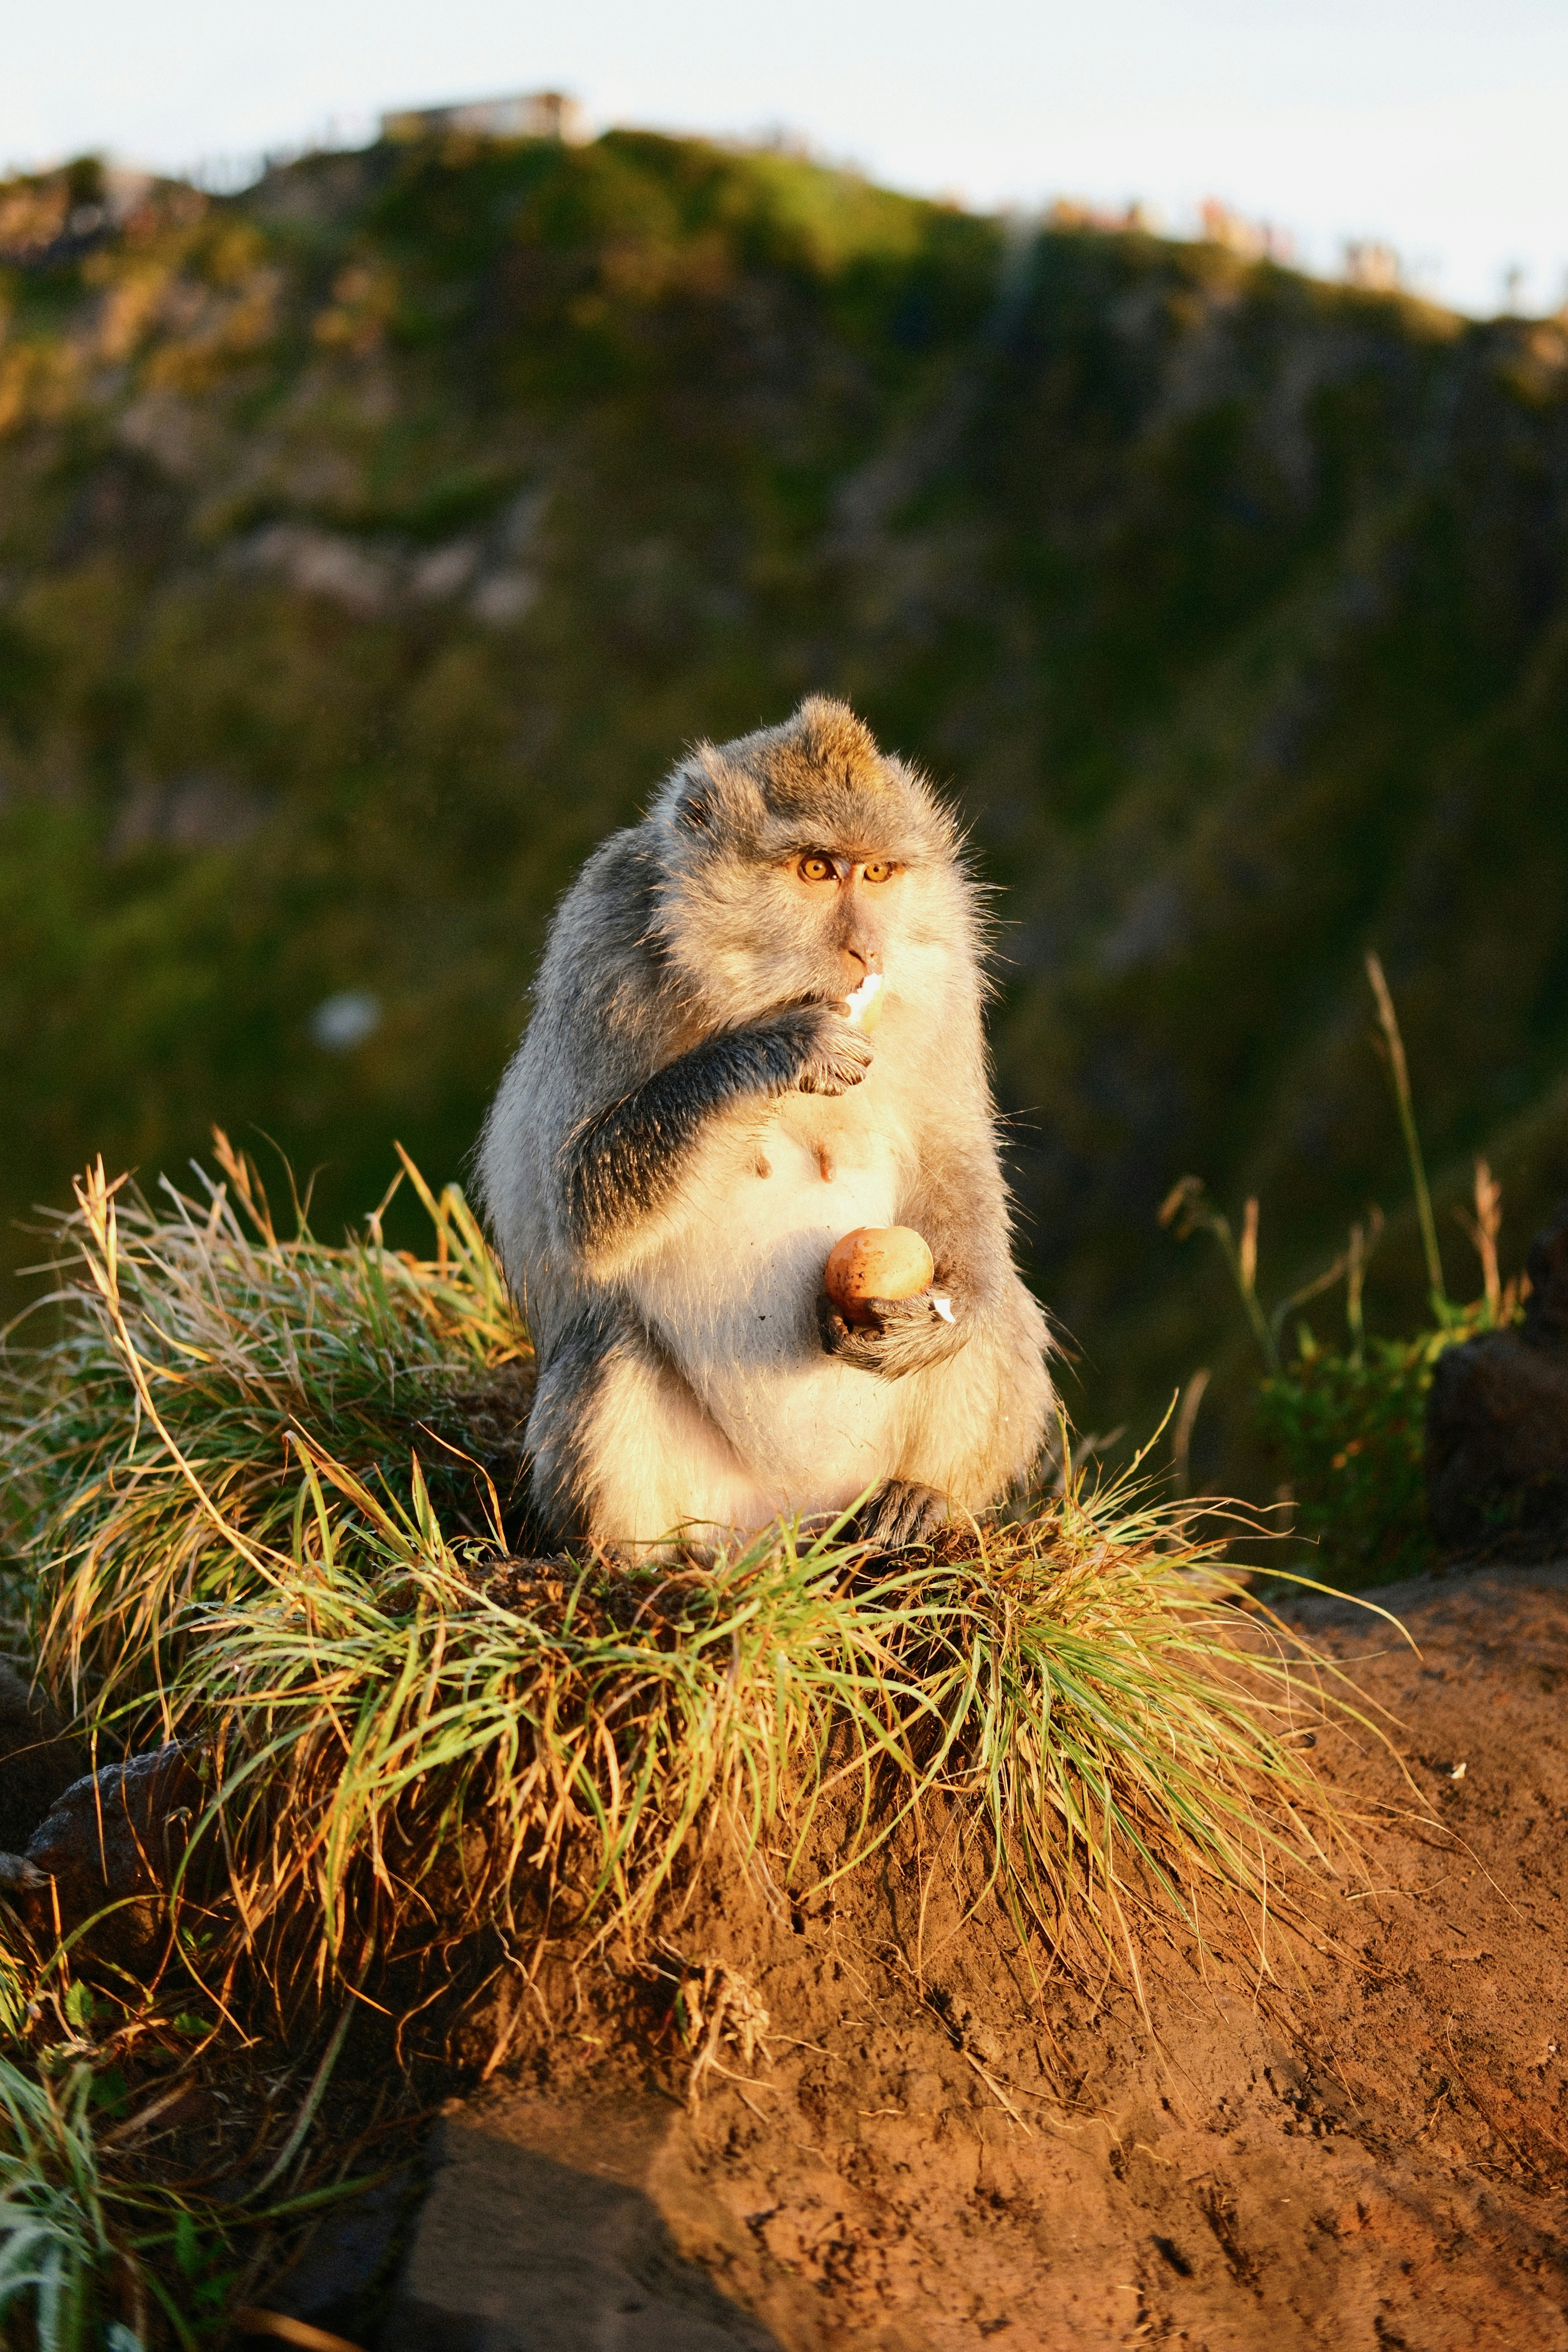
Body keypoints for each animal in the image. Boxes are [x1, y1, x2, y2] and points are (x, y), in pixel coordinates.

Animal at [476, 696, 1052, 1559]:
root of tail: (794, 1526)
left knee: (996, 1306)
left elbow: (954, 1155)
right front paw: (780, 1046)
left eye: (877, 873)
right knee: (606, 1341)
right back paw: (641, 1565)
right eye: (815, 869)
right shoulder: (600, 946)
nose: (866, 949)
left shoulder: (945, 971)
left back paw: (923, 1499)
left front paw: (939, 1323)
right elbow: (575, 1199)